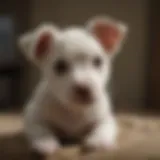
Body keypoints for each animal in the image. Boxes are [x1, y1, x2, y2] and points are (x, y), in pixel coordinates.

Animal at [18, 16, 127, 155]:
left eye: (98, 61)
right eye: (60, 66)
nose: (84, 88)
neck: (75, 111)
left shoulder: (106, 119)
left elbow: (103, 128)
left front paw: (97, 141)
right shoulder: (33, 117)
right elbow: (40, 129)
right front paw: (44, 142)